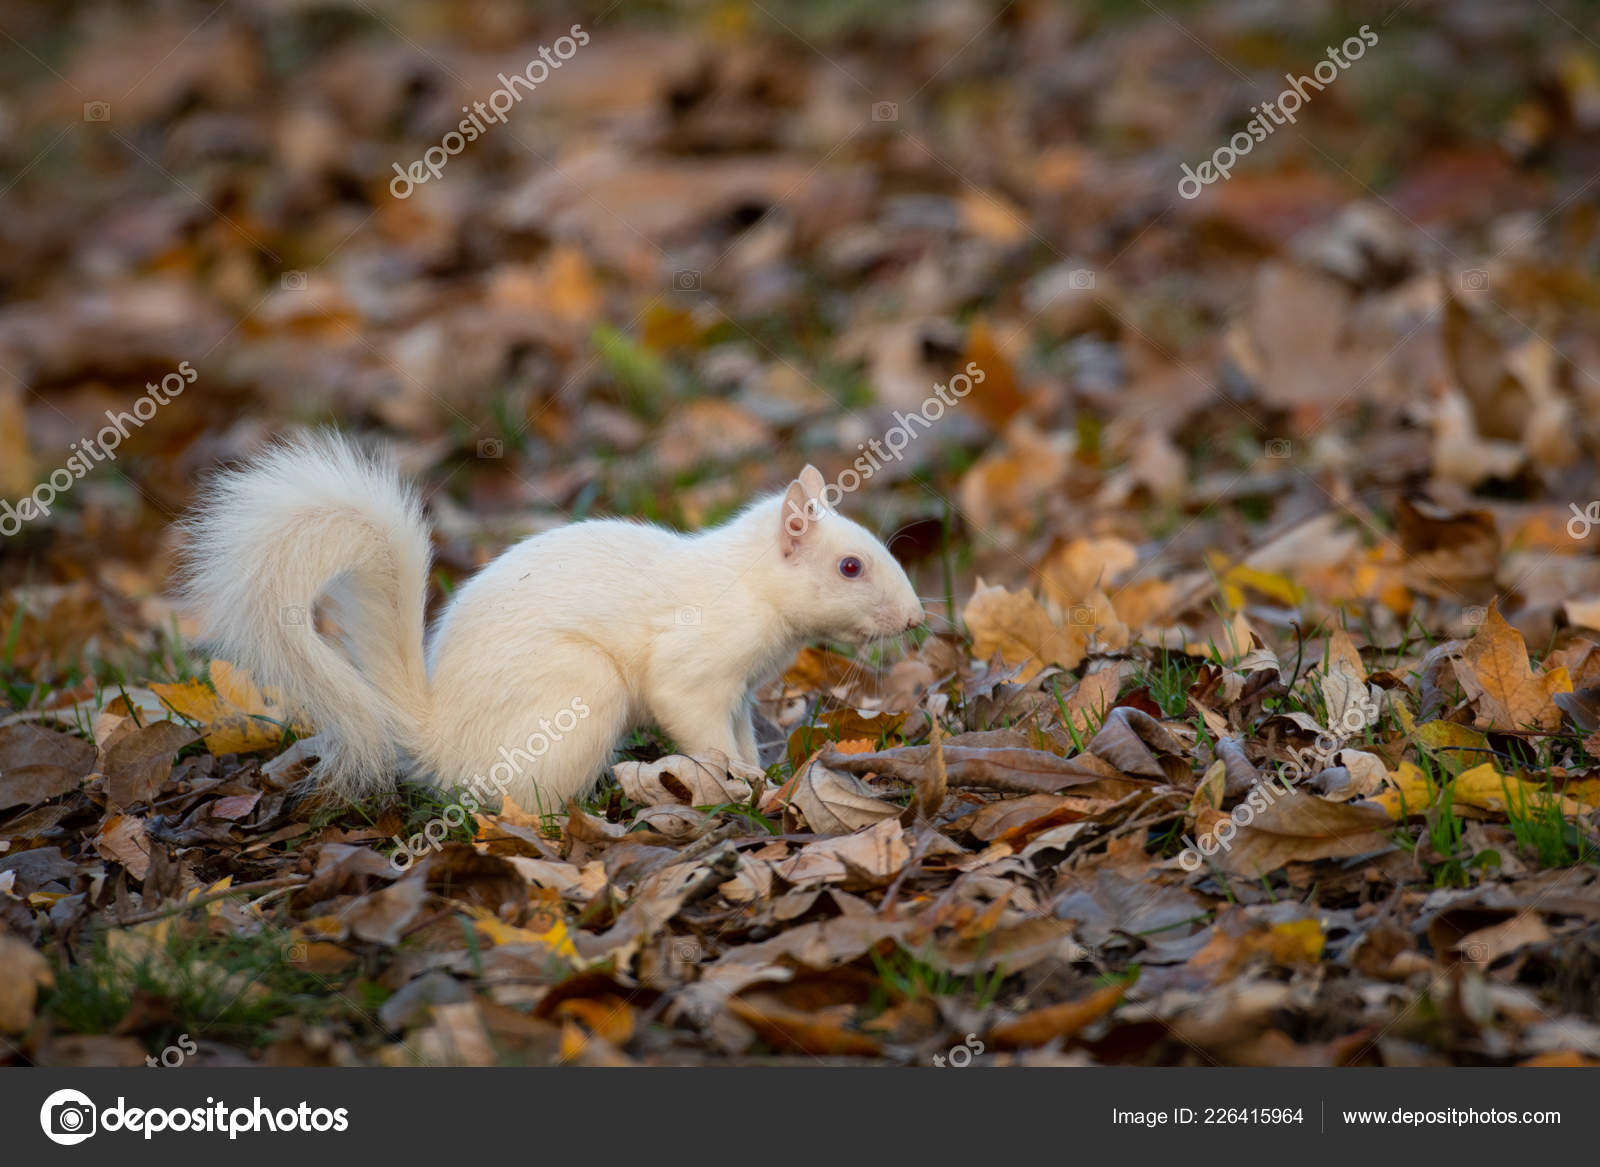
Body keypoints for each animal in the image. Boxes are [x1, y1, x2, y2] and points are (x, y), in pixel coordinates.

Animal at [179, 433, 924, 811]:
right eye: (851, 567)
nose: (917, 617)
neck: (749, 584)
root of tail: (441, 740)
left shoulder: (739, 690)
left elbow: (738, 734)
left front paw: (758, 775)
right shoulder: (696, 666)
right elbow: (694, 719)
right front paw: (737, 781)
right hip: (579, 695)